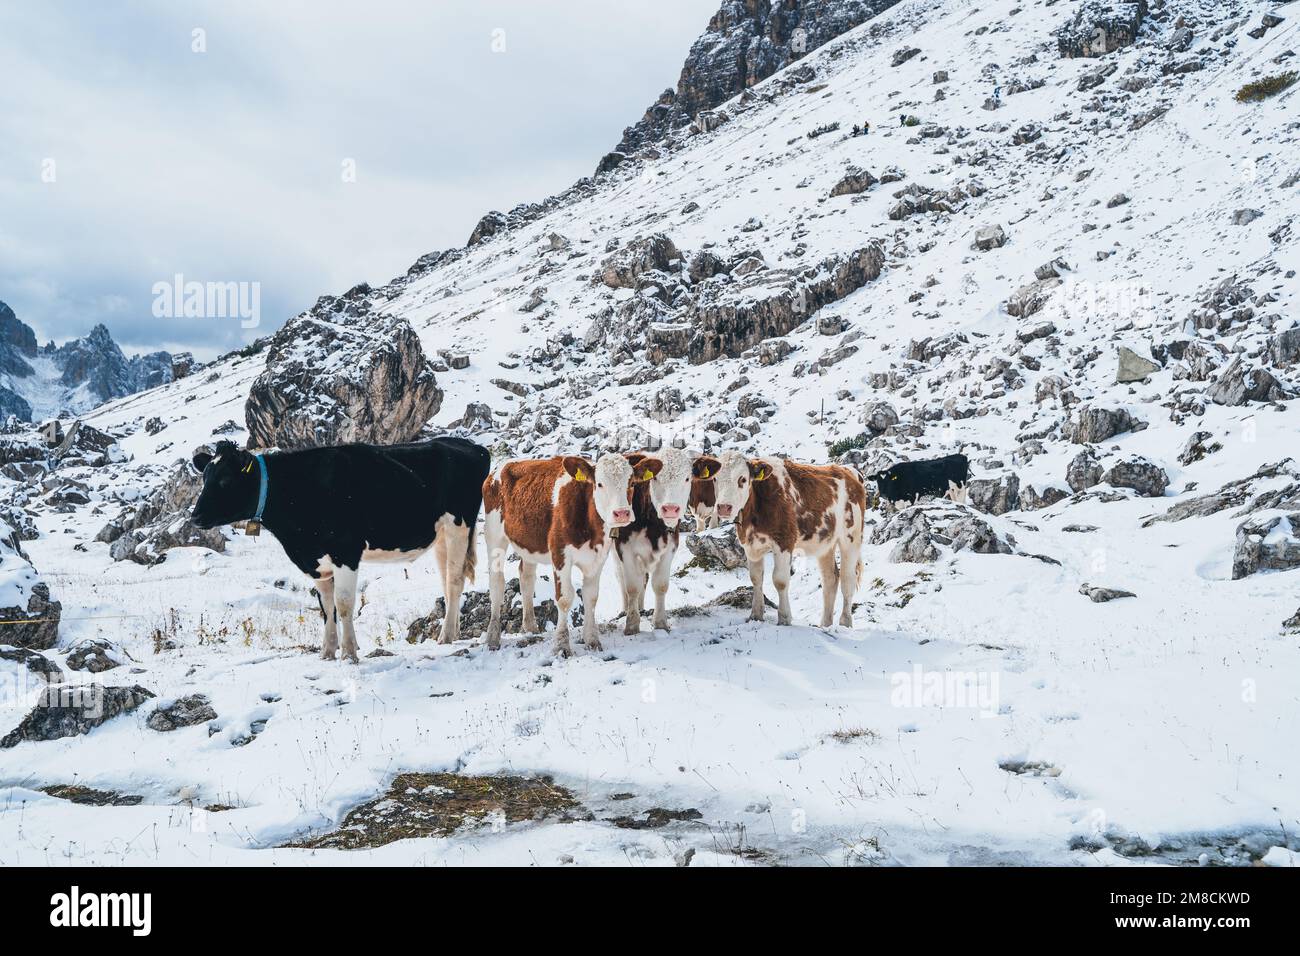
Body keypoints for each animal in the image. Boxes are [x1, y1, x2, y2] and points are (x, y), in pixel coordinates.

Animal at [190, 437, 490, 662]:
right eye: (204, 478)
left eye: (225, 480)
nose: (195, 516)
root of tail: (471, 445)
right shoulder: (315, 562)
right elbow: (326, 607)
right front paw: (327, 651)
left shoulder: (346, 552)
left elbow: (343, 604)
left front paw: (348, 653)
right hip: (440, 536)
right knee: (446, 579)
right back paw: (452, 631)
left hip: (459, 526)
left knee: (455, 580)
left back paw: (446, 635)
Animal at [482, 452, 652, 656]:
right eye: (599, 484)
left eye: (632, 483)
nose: (622, 513)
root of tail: (498, 469)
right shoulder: (560, 554)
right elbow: (564, 599)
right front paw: (562, 645)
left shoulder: (598, 557)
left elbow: (591, 596)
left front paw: (592, 640)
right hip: (494, 535)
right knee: (496, 584)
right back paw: (493, 637)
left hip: (529, 542)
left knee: (526, 577)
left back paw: (530, 627)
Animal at [614, 449, 720, 635]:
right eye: (655, 478)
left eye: (687, 478)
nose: (670, 509)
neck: (652, 525)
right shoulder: (624, 547)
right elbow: (631, 586)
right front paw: (632, 625)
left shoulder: (670, 546)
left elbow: (660, 585)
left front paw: (660, 623)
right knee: (622, 578)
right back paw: (626, 609)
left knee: (643, 578)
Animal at [711, 450, 867, 628]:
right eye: (715, 479)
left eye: (742, 479)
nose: (723, 507)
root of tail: (849, 471)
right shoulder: (750, 545)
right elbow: (756, 578)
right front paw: (756, 615)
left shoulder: (784, 541)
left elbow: (780, 580)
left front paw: (784, 618)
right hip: (825, 543)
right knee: (830, 579)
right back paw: (825, 624)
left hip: (851, 537)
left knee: (847, 579)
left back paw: (845, 623)